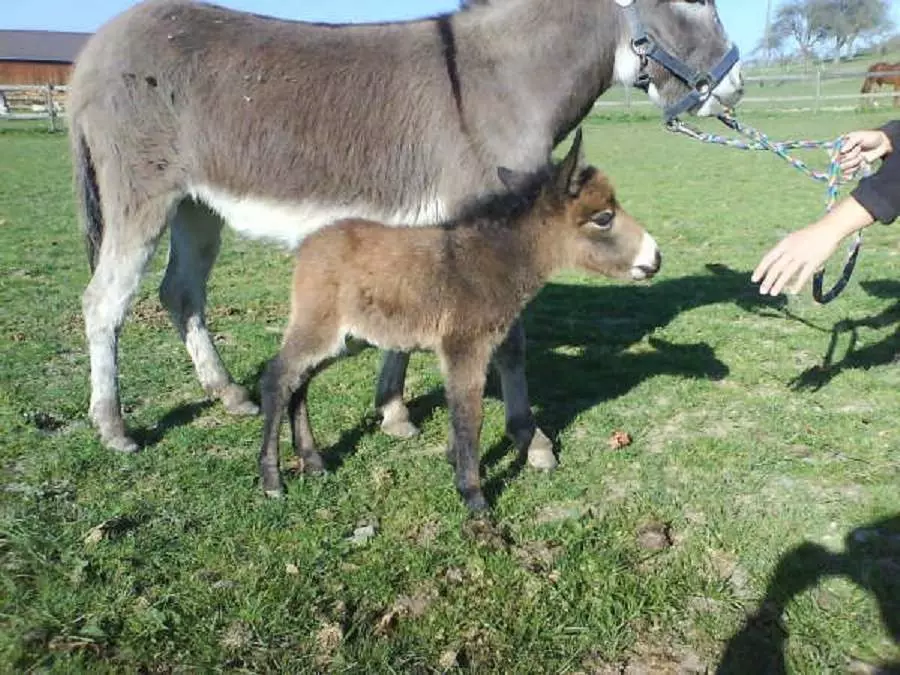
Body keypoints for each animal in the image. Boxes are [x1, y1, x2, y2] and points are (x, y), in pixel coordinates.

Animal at [260, 131, 660, 512]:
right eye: (603, 218)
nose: (656, 258)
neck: (495, 261)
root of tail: (309, 243)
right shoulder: (465, 346)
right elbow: (470, 416)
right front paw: (474, 496)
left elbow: (463, 410)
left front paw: (456, 463)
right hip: (319, 327)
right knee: (278, 378)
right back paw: (272, 481)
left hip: (347, 340)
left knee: (300, 382)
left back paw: (313, 462)